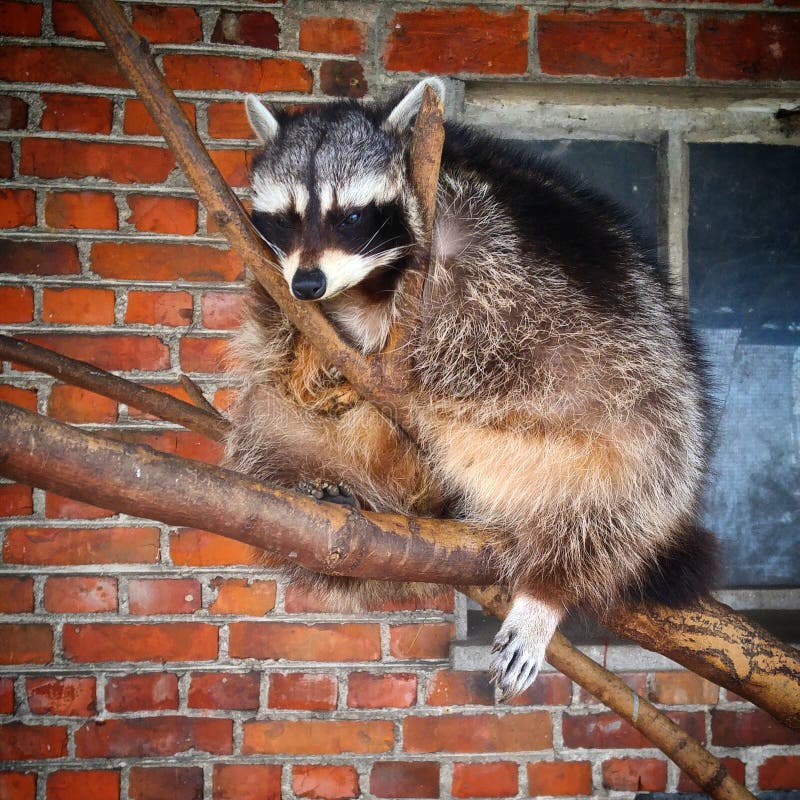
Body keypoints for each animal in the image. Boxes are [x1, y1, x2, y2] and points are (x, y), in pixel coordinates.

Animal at [225, 79, 717, 698]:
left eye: (353, 215)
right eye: (285, 219)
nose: (308, 285)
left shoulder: (480, 248)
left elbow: (440, 326)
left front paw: (360, 321)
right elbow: (279, 348)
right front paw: (314, 346)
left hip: (651, 407)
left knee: (620, 498)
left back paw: (550, 583)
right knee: (268, 419)